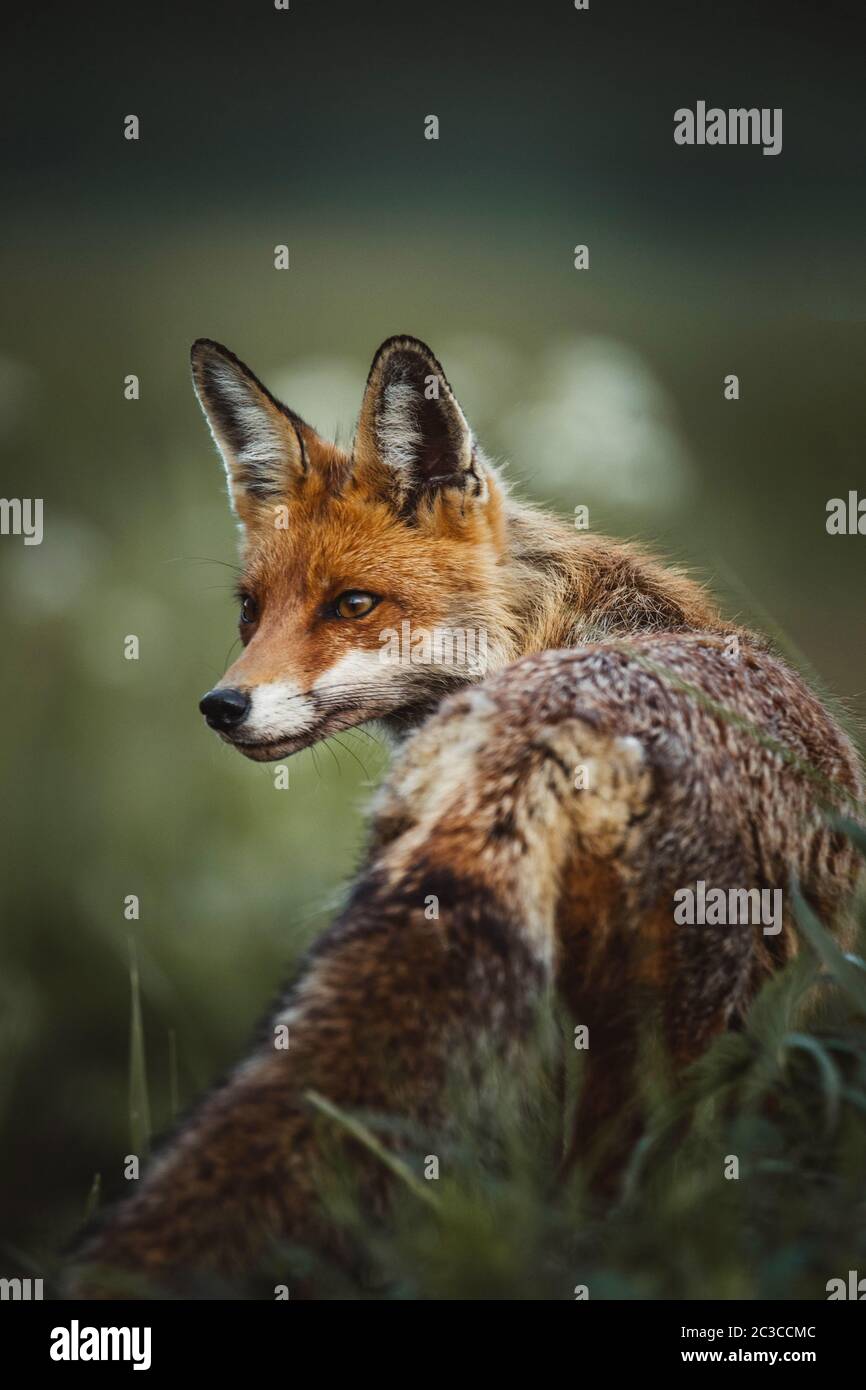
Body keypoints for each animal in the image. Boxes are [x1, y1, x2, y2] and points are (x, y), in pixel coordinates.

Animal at [67, 334, 863, 1297]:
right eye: (251, 611)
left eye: (354, 604)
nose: (222, 707)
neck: (556, 636)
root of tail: (546, 734)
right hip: (663, 1054)